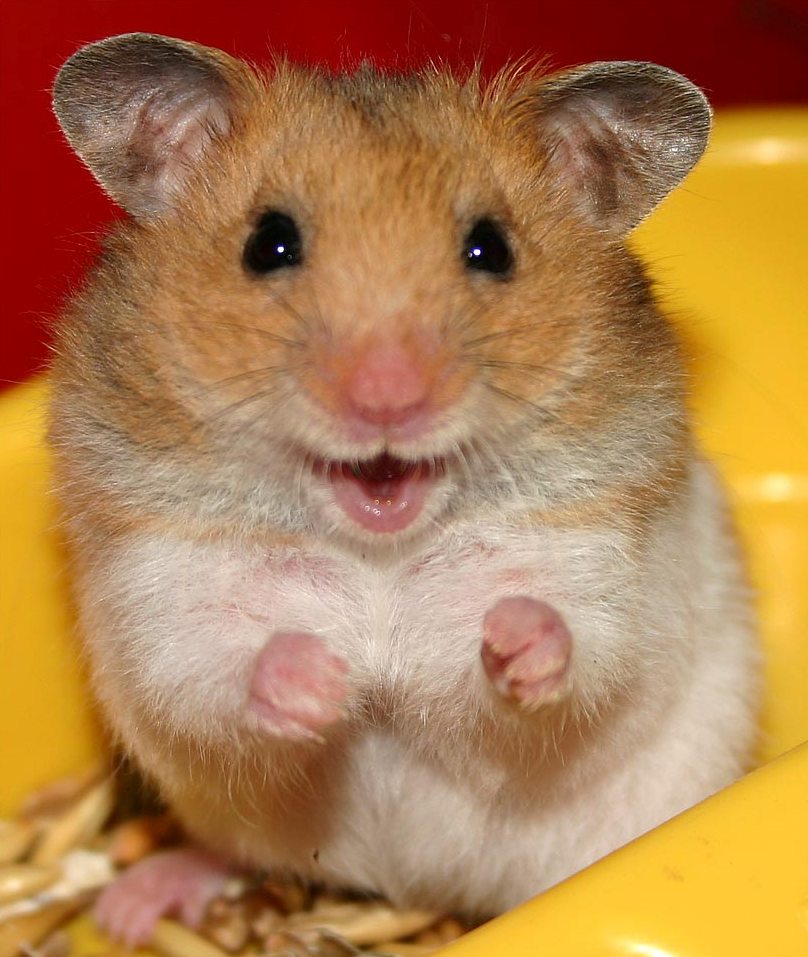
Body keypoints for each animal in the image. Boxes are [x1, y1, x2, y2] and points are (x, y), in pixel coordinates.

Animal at [49, 33, 759, 945]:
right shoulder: (164, 586)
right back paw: (134, 904)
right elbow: (210, 664)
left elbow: (581, 641)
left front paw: (513, 639)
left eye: (491, 248)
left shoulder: (604, 565)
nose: (388, 400)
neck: (378, 549)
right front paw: (325, 680)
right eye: (268, 243)